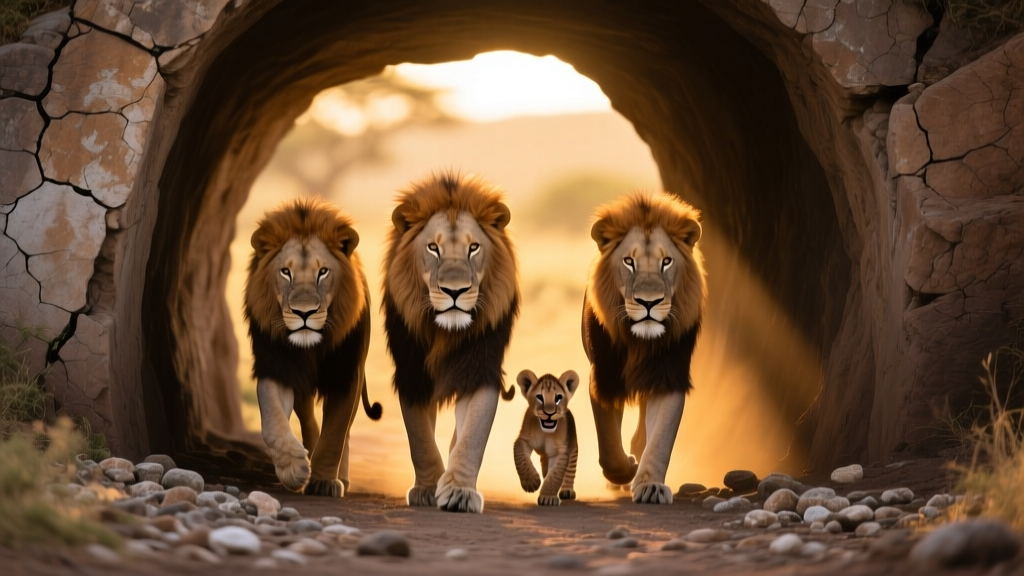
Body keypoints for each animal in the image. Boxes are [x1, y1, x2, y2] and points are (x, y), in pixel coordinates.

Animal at [244, 198, 382, 498]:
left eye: (323, 272)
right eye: (286, 272)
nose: (304, 312)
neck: (312, 347)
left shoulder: (347, 374)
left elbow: (336, 433)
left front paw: (324, 481)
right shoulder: (277, 365)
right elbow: (272, 420)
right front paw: (293, 469)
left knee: (346, 431)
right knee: (308, 421)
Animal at [382, 170, 519, 513]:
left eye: (474, 248)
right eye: (433, 248)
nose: (454, 291)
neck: (445, 332)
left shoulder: (480, 368)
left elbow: (472, 435)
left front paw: (458, 490)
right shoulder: (411, 372)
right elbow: (419, 438)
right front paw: (428, 488)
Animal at [513, 369, 579, 506]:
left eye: (558, 398)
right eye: (539, 397)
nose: (549, 413)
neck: (546, 431)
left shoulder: (560, 451)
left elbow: (555, 475)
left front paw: (548, 497)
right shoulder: (524, 439)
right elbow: (520, 456)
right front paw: (531, 481)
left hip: (573, 449)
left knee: (570, 471)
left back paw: (567, 491)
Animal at [583, 191, 706, 504]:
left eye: (667, 262)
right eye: (629, 261)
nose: (648, 302)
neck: (640, 342)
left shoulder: (669, 374)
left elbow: (660, 437)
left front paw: (649, 484)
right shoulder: (604, 375)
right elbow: (608, 440)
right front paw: (624, 470)